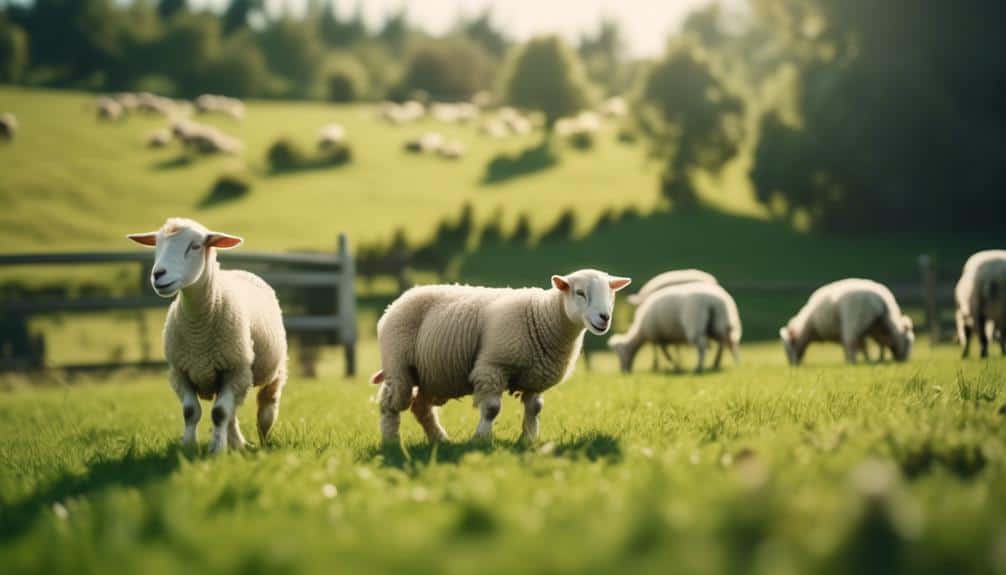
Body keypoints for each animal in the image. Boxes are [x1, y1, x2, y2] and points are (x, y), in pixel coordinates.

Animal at [127, 218, 287, 454]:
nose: (158, 274)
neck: (198, 332)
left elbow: (219, 413)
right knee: (233, 413)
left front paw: (217, 451)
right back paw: (237, 444)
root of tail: (241, 271)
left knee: (265, 407)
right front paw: (188, 446)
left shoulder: (234, 369)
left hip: (271, 371)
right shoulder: (180, 372)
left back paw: (261, 442)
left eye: (195, 246)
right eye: (157, 245)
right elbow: (190, 411)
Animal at [371, 269, 632, 444]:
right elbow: (491, 409)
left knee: (421, 408)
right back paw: (391, 443)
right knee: (390, 405)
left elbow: (534, 409)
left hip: (432, 375)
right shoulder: (492, 366)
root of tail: (399, 299)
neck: (542, 315)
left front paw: (529, 440)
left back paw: (440, 440)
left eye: (611, 295)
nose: (604, 317)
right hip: (399, 366)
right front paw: (481, 439)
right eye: (580, 293)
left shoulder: (536, 377)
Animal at [608, 282, 742, 374]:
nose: (624, 371)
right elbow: (667, 350)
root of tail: (713, 301)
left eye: (620, 352)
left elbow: (662, 351)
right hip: (718, 324)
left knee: (703, 346)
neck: (640, 332)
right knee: (727, 342)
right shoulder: (666, 337)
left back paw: (698, 368)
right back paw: (725, 364)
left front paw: (668, 365)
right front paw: (675, 365)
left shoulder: (656, 336)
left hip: (695, 324)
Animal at [780, 278, 914, 365]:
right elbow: (862, 346)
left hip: (854, 321)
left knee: (854, 341)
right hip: (876, 325)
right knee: (883, 341)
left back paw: (853, 362)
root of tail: (880, 299)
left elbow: (853, 346)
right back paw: (876, 360)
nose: (792, 364)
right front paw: (868, 360)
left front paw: (855, 359)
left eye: (788, 348)